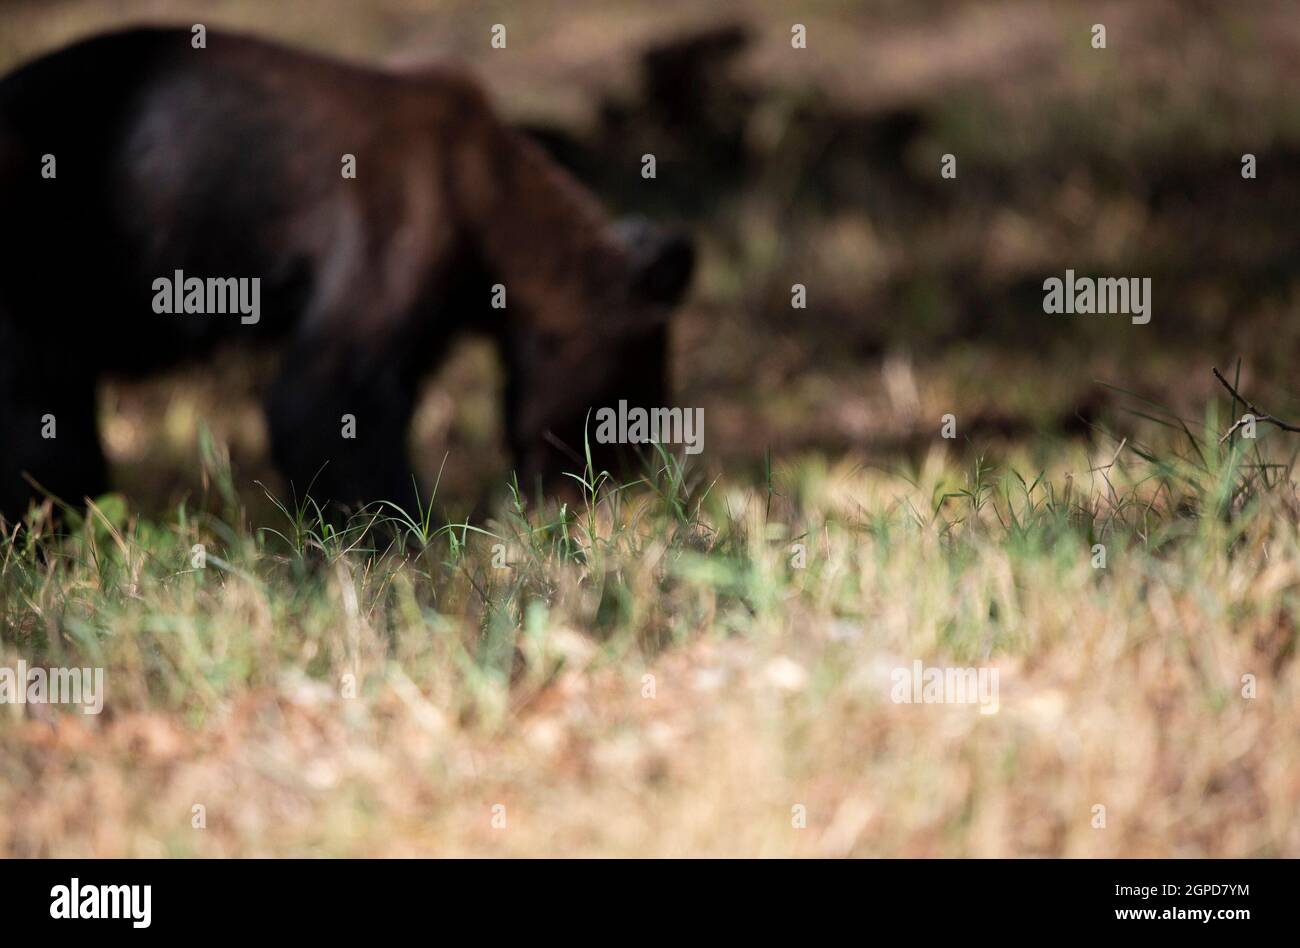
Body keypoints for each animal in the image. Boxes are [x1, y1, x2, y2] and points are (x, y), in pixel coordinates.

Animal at [0, 26, 694, 524]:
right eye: (629, 403)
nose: (635, 488)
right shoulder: (390, 243)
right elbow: (323, 401)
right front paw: (401, 542)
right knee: (40, 426)